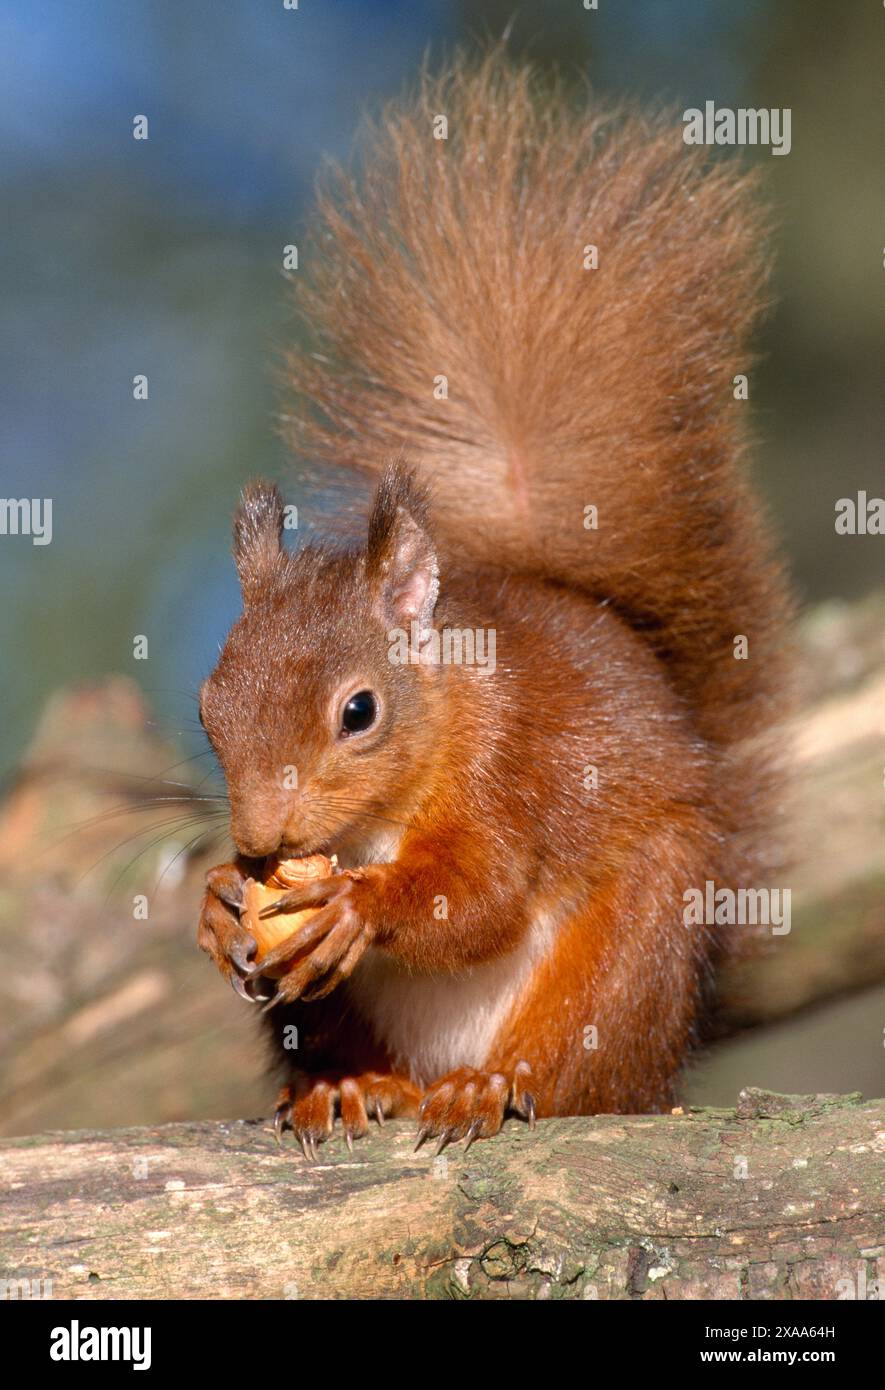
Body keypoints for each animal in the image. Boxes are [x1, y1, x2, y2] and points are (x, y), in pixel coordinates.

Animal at [196, 54, 792, 1156]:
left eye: (359, 712)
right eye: (208, 709)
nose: (259, 844)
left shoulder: (505, 773)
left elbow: (480, 898)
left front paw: (358, 905)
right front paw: (218, 903)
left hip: (629, 959)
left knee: (572, 1070)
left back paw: (487, 1086)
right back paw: (345, 1086)